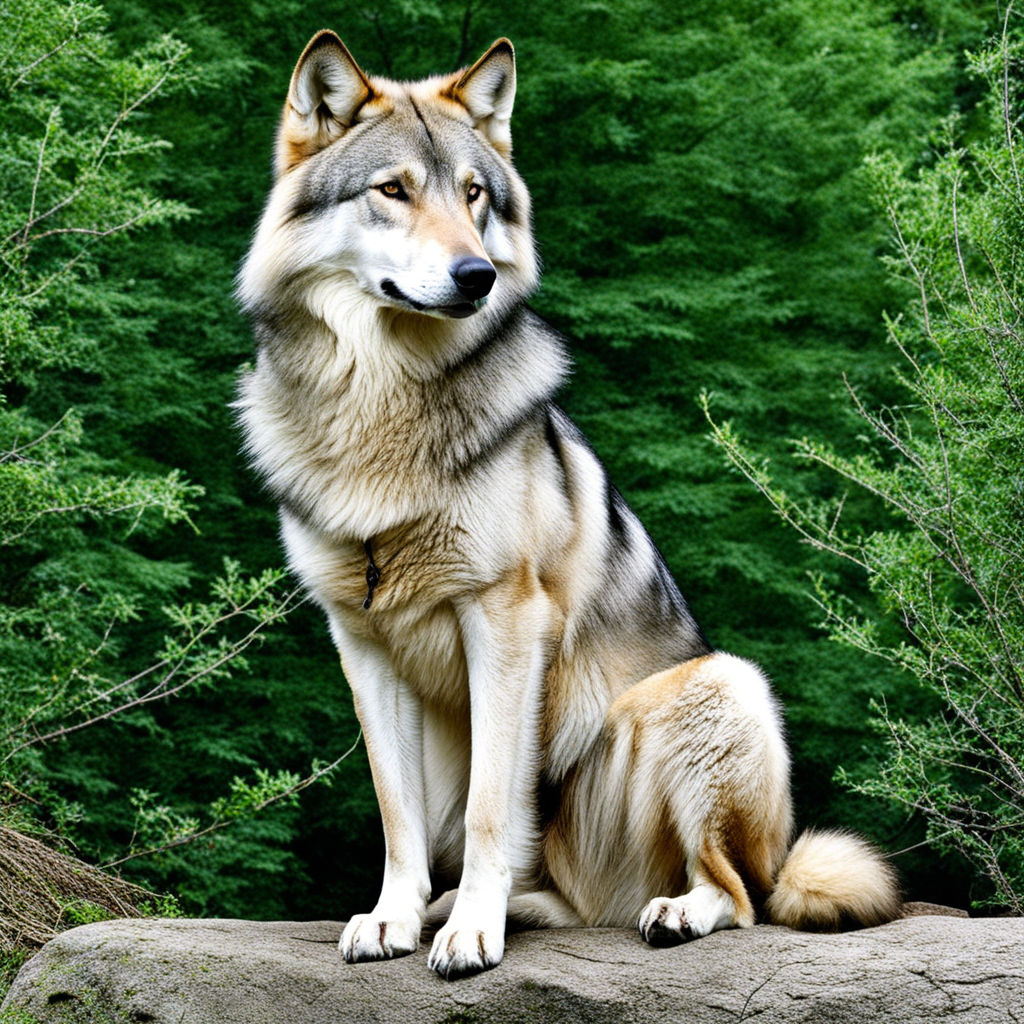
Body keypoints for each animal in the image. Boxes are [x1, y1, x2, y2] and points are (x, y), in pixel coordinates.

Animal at [235, 31, 902, 978]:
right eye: (393, 190)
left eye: (473, 195)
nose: (476, 274)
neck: (382, 408)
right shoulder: (359, 640)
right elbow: (398, 814)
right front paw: (394, 920)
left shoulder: (505, 618)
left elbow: (488, 808)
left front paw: (472, 936)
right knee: (579, 896)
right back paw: (489, 907)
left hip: (715, 688)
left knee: (741, 894)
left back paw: (669, 912)